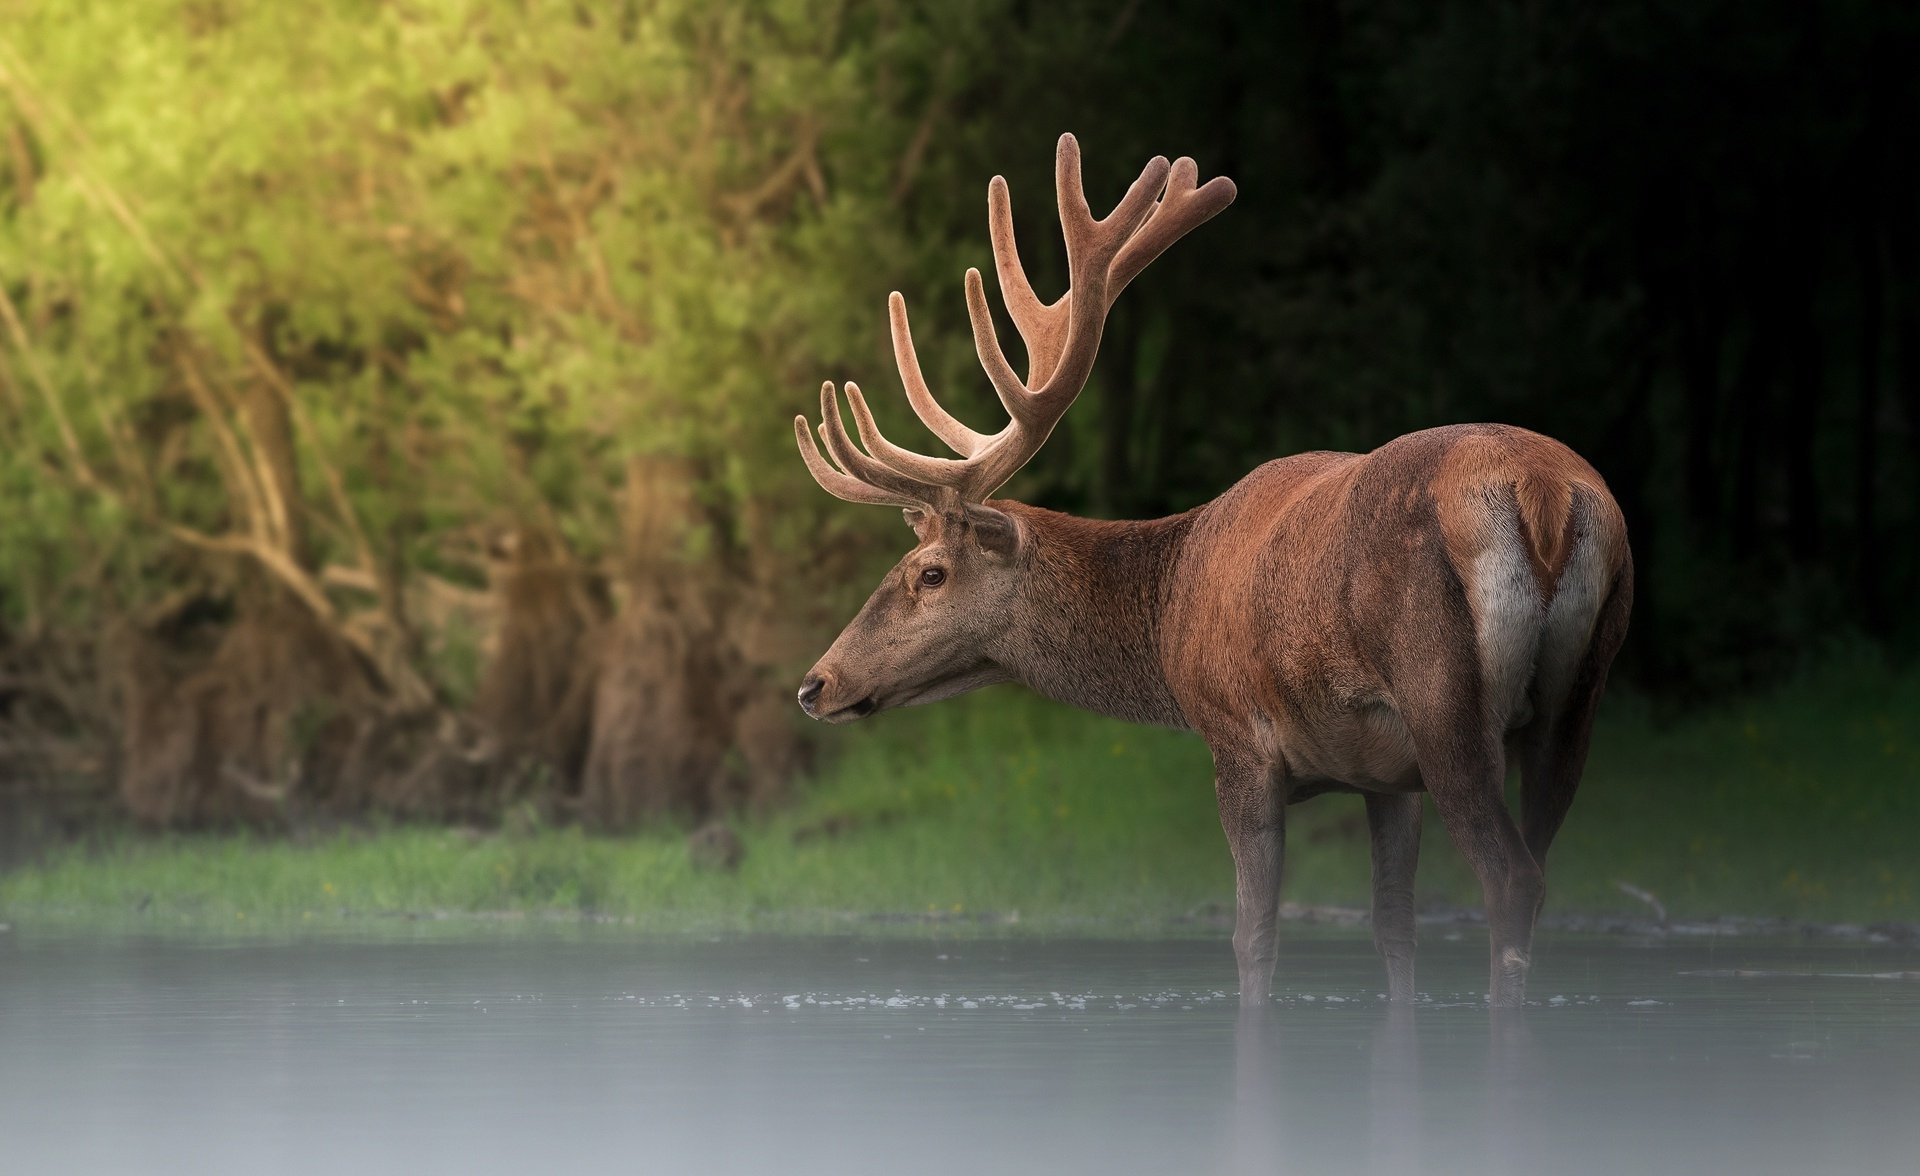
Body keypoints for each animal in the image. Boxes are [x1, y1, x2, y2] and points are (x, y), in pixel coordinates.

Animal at [792, 134, 1632, 1008]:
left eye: (929, 573)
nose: (815, 684)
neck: (1168, 611)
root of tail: (1544, 495)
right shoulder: (1384, 776)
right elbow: (1393, 932)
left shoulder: (1238, 740)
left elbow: (1252, 937)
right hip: (1577, 697)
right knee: (1540, 863)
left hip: (1443, 695)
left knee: (1510, 878)